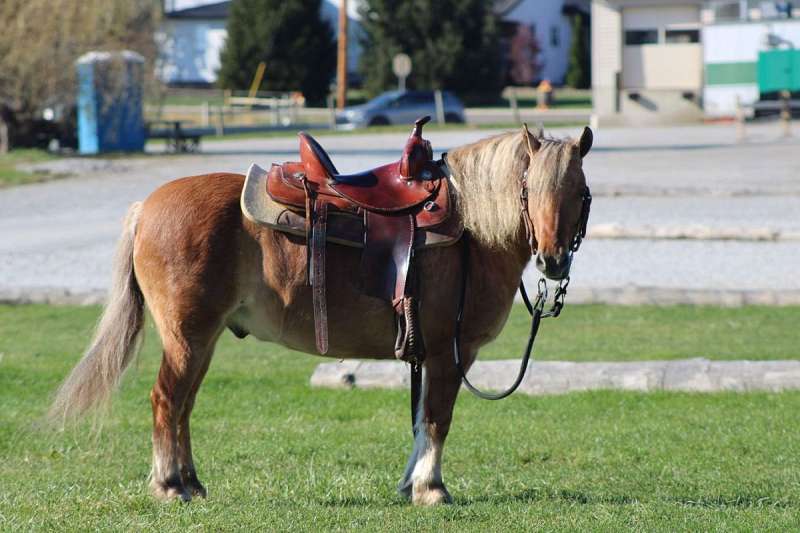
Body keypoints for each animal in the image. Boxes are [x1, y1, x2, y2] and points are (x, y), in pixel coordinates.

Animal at [50, 125, 593, 505]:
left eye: (580, 194)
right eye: (530, 190)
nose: (552, 260)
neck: (471, 230)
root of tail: (146, 208)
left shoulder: (432, 356)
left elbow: (421, 420)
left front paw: (410, 484)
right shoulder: (447, 355)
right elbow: (438, 418)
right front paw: (431, 489)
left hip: (201, 341)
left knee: (183, 405)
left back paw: (191, 483)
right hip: (187, 338)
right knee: (166, 400)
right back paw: (168, 486)